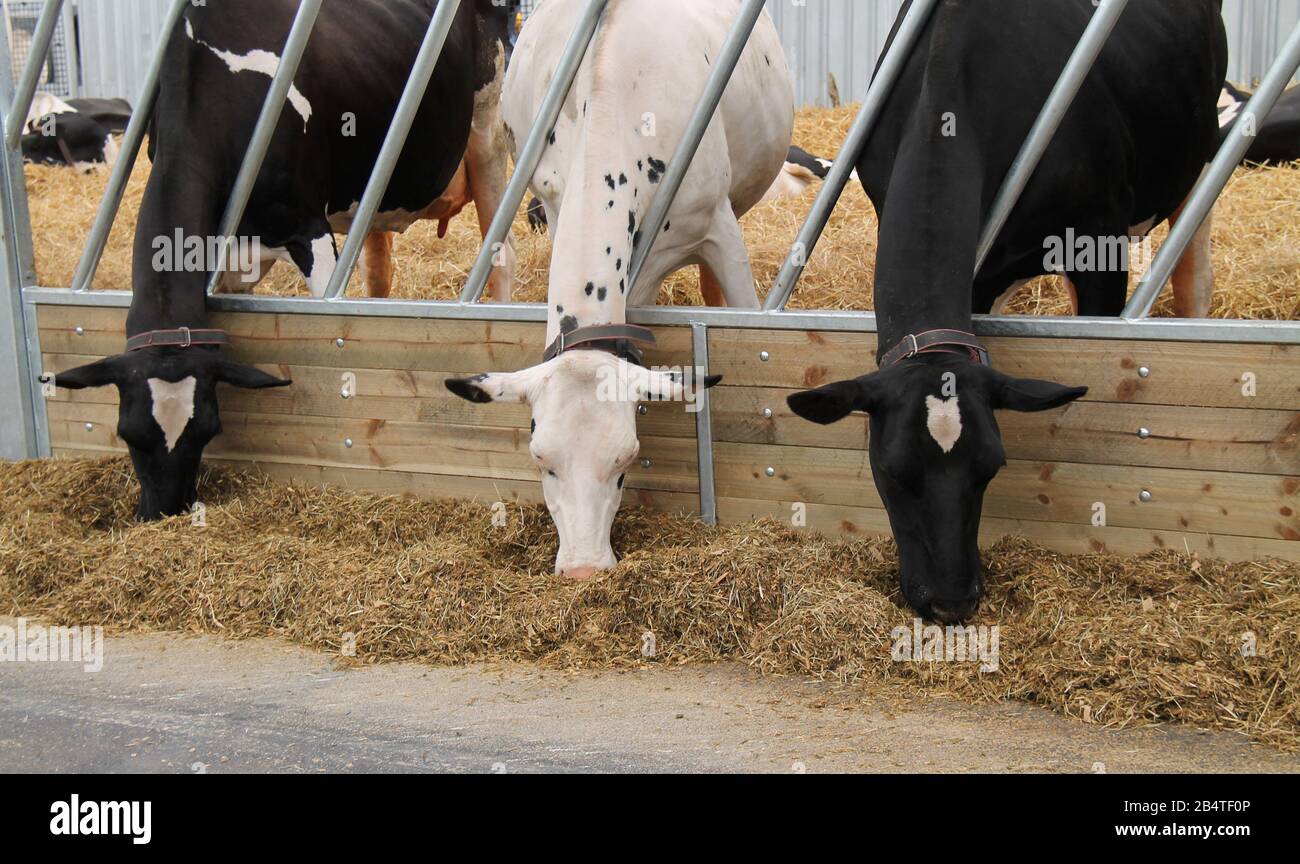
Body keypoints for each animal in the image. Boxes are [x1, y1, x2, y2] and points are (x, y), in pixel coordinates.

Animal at [47, 0, 514, 521]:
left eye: (209, 428)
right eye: (127, 432)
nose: (166, 511)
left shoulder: (308, 228)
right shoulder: (230, 255)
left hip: (487, 129)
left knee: (502, 254)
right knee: (380, 273)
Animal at [787, 0, 1227, 622]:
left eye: (992, 466)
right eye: (892, 471)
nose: (950, 602)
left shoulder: (1101, 236)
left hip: (1201, 154)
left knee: (1195, 271)